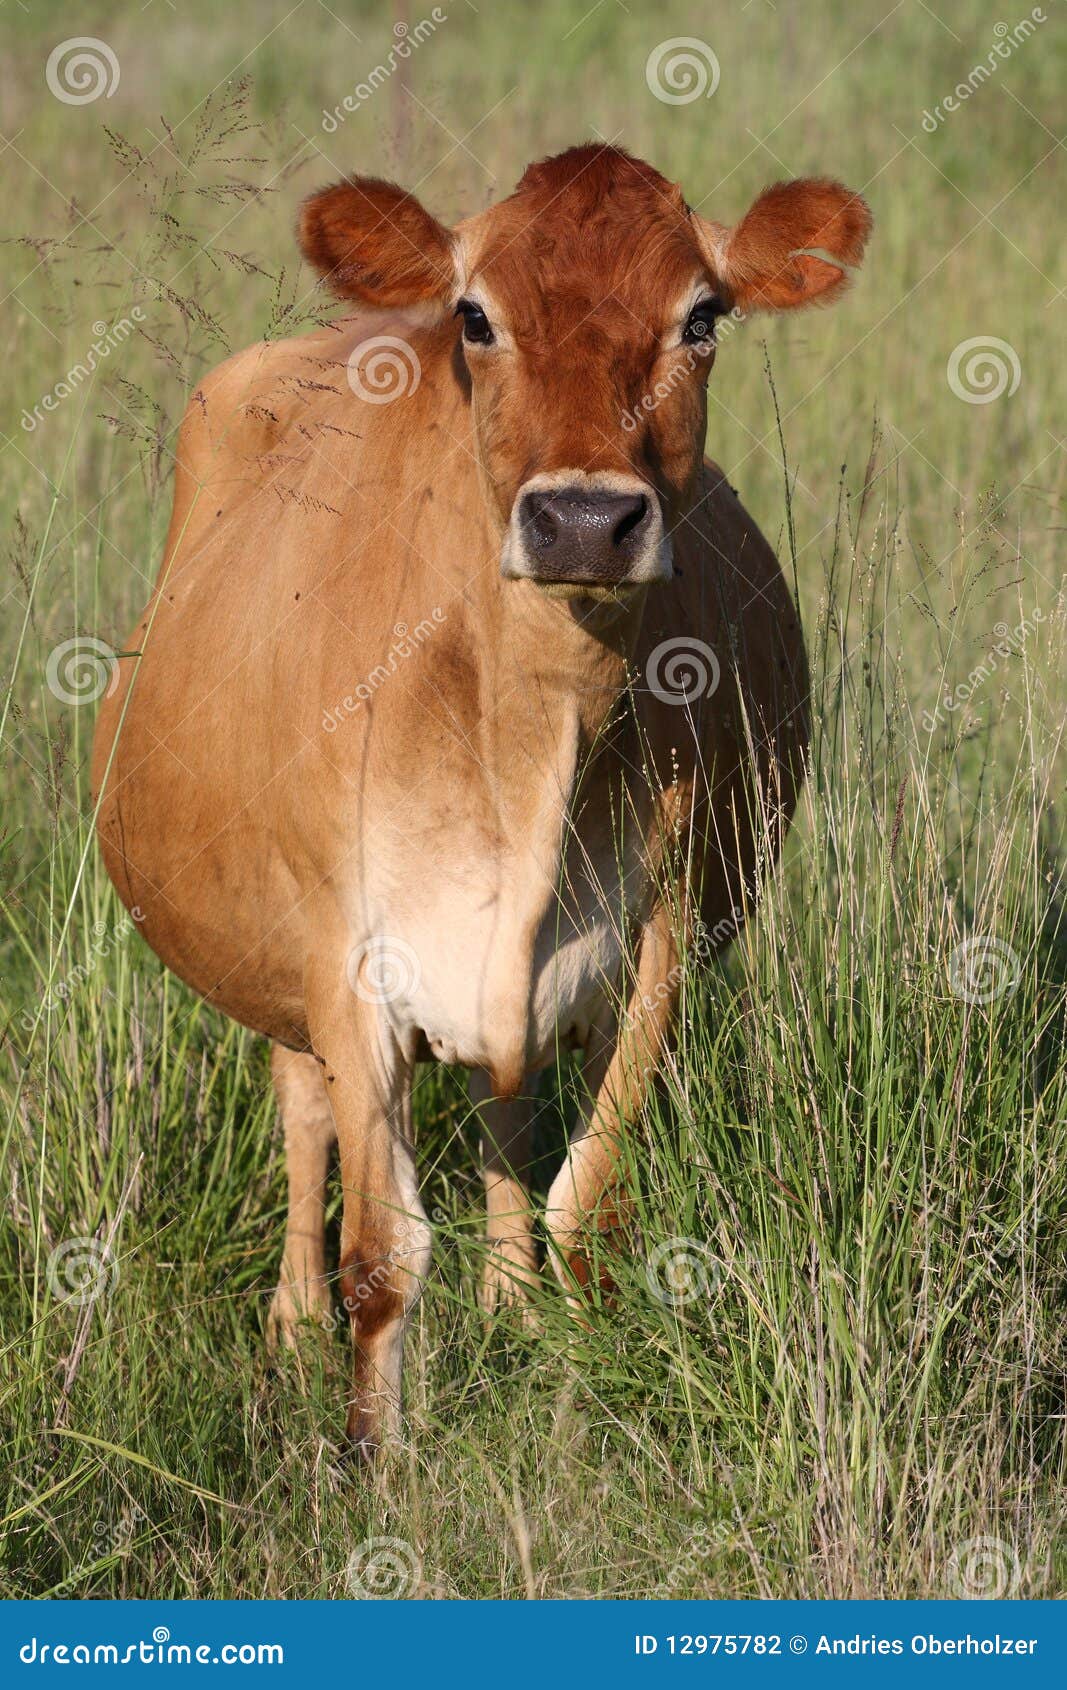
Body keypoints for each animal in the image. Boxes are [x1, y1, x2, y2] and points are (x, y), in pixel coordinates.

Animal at [92, 144, 870, 1457]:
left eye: (701, 317)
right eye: (475, 317)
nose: (582, 521)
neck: (528, 742)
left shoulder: (657, 936)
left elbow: (585, 1204)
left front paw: (578, 1384)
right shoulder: (343, 960)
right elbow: (382, 1253)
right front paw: (373, 1458)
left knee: (502, 1111)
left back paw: (507, 1303)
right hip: (275, 960)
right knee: (301, 1111)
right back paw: (291, 1324)